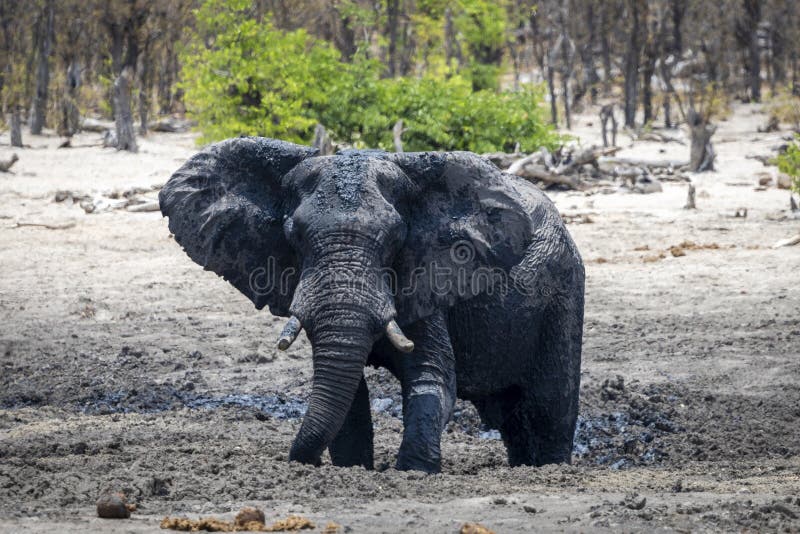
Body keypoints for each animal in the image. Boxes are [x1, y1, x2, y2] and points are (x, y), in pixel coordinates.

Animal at [159, 136, 584, 473]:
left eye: (396, 237)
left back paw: (550, 470)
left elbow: (430, 375)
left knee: (549, 406)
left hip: (564, 290)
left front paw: (413, 472)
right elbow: (350, 391)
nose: (302, 463)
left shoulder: (428, 278)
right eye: (293, 235)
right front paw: (352, 470)